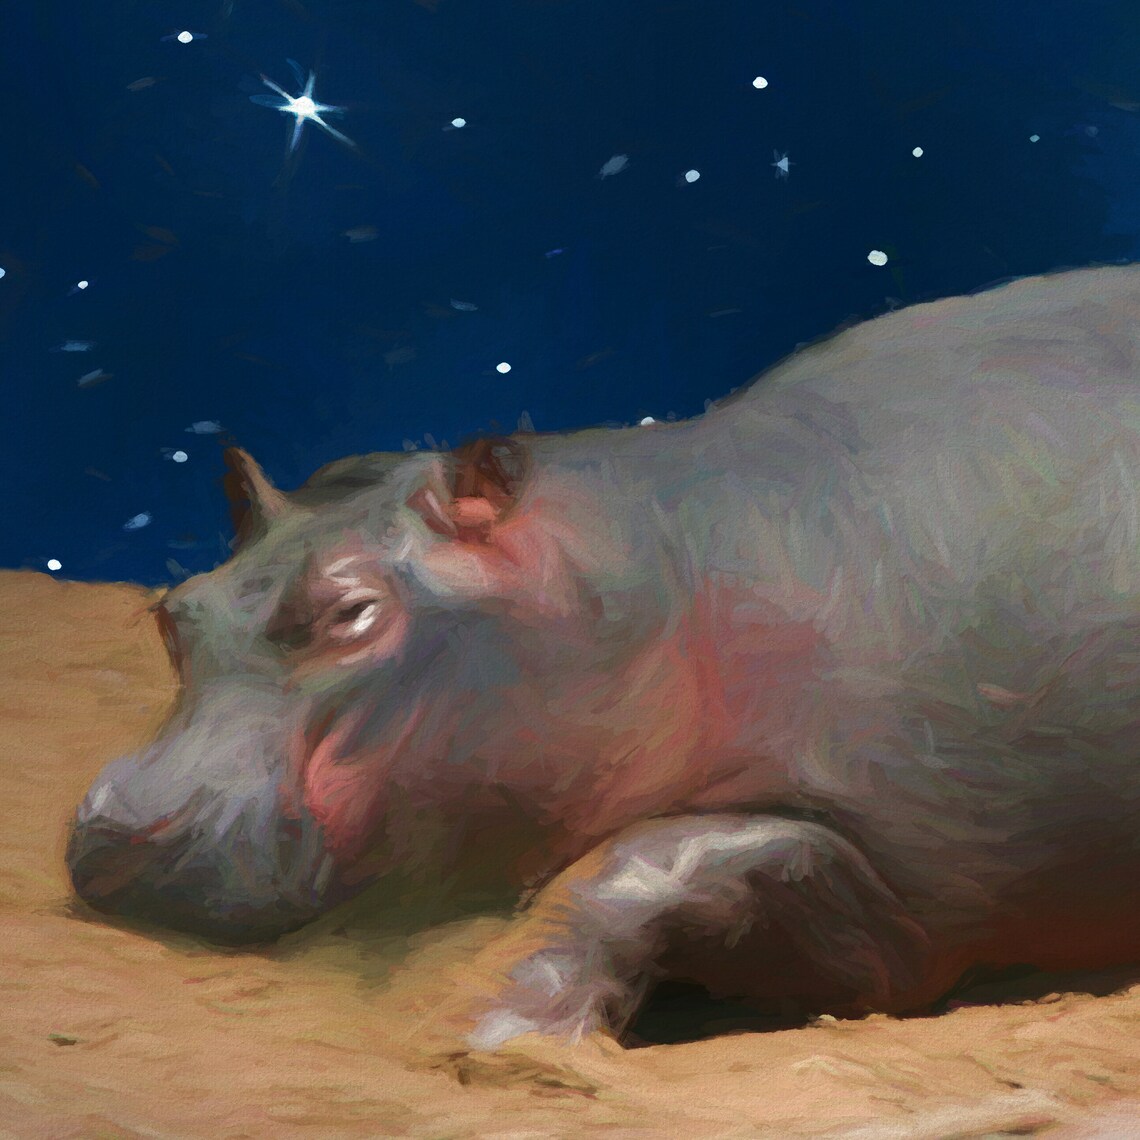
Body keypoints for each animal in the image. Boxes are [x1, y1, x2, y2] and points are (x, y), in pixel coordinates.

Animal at [68, 266, 1140, 1055]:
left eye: (352, 610)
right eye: (175, 613)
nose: (118, 831)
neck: (663, 569)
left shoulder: (917, 899)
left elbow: (640, 863)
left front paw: (497, 1037)